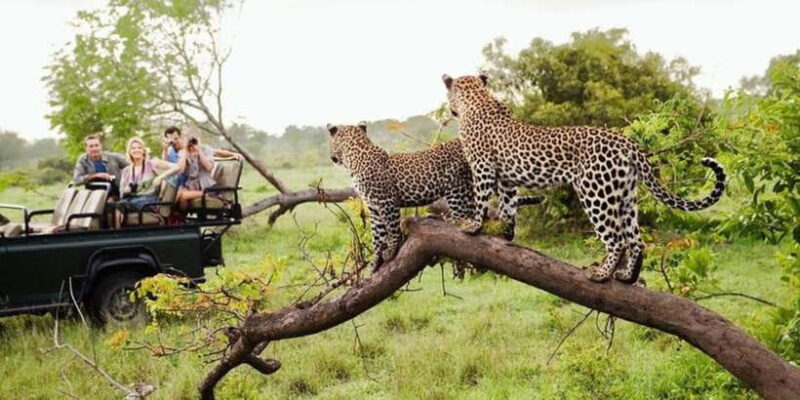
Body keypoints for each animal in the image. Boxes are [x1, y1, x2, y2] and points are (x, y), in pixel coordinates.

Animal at [327, 122, 542, 269]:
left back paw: (444, 219)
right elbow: (377, 234)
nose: (332, 157)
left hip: (457, 187)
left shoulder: (386, 202)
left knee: (465, 217)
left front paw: (391, 250)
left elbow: (392, 229)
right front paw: (375, 261)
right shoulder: (373, 206)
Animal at [441, 74, 726, 283]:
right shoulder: (507, 179)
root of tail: (628, 143)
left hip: (595, 193)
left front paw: (473, 226)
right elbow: (508, 207)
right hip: (625, 195)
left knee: (617, 239)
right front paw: (505, 234)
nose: (450, 109)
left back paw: (601, 274)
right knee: (636, 240)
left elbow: (481, 199)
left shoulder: (482, 167)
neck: (477, 99)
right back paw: (626, 276)